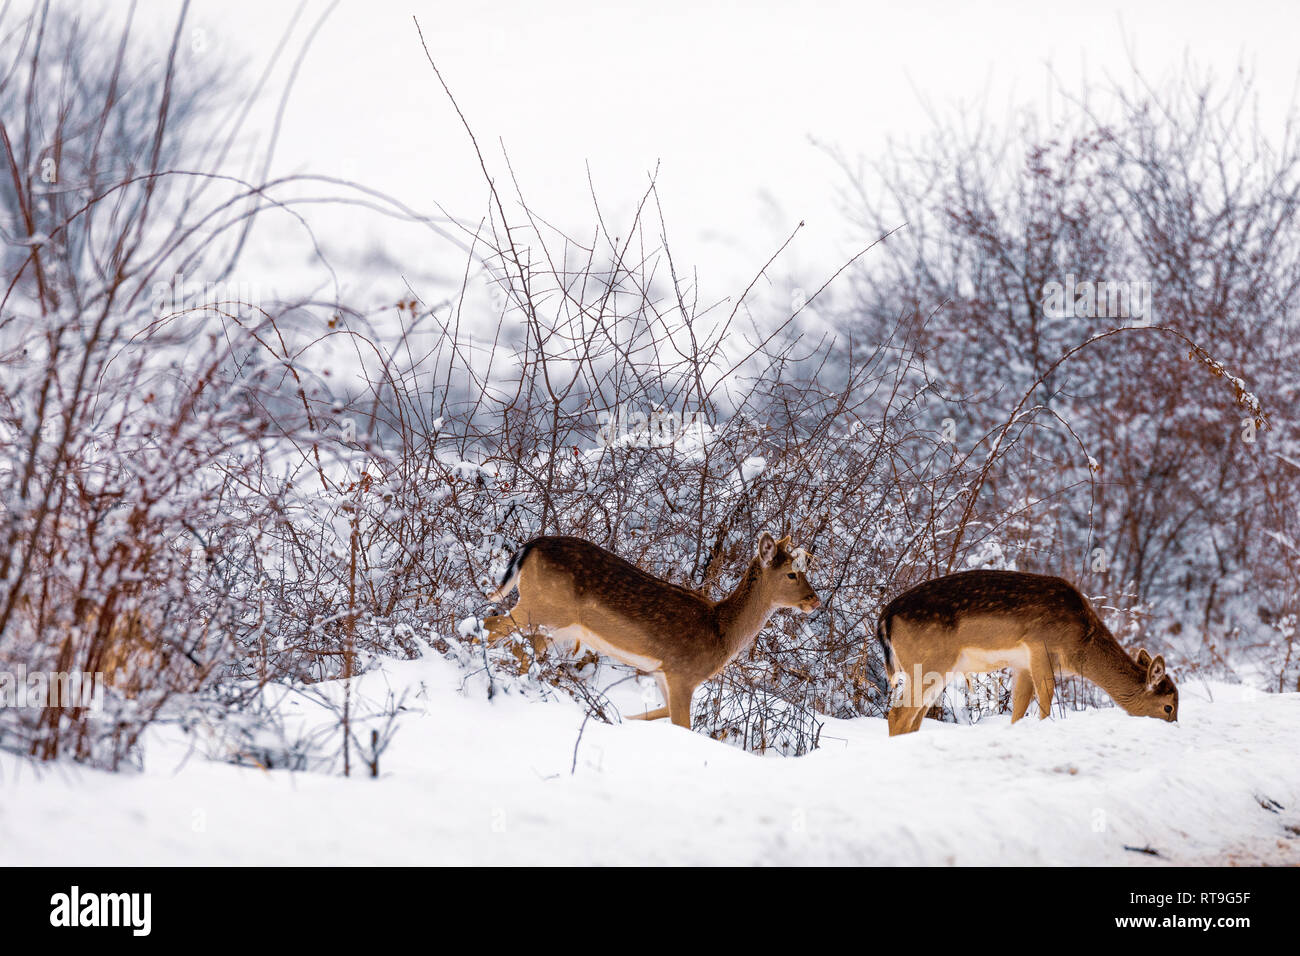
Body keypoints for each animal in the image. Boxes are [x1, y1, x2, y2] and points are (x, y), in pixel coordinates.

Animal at [482, 532, 821, 729]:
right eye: (792, 573)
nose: (814, 600)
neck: (721, 631)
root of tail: (529, 547)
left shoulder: (661, 673)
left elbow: (659, 713)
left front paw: (620, 718)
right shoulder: (683, 673)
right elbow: (683, 724)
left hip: (546, 622)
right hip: (543, 607)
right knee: (491, 624)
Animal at [875, 569, 1178, 736]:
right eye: (1169, 706)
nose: (1174, 727)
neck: (1079, 644)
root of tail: (886, 616)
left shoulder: (1021, 664)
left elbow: (1018, 709)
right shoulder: (1039, 648)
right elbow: (1045, 702)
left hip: (936, 670)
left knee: (913, 718)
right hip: (929, 662)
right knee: (898, 715)